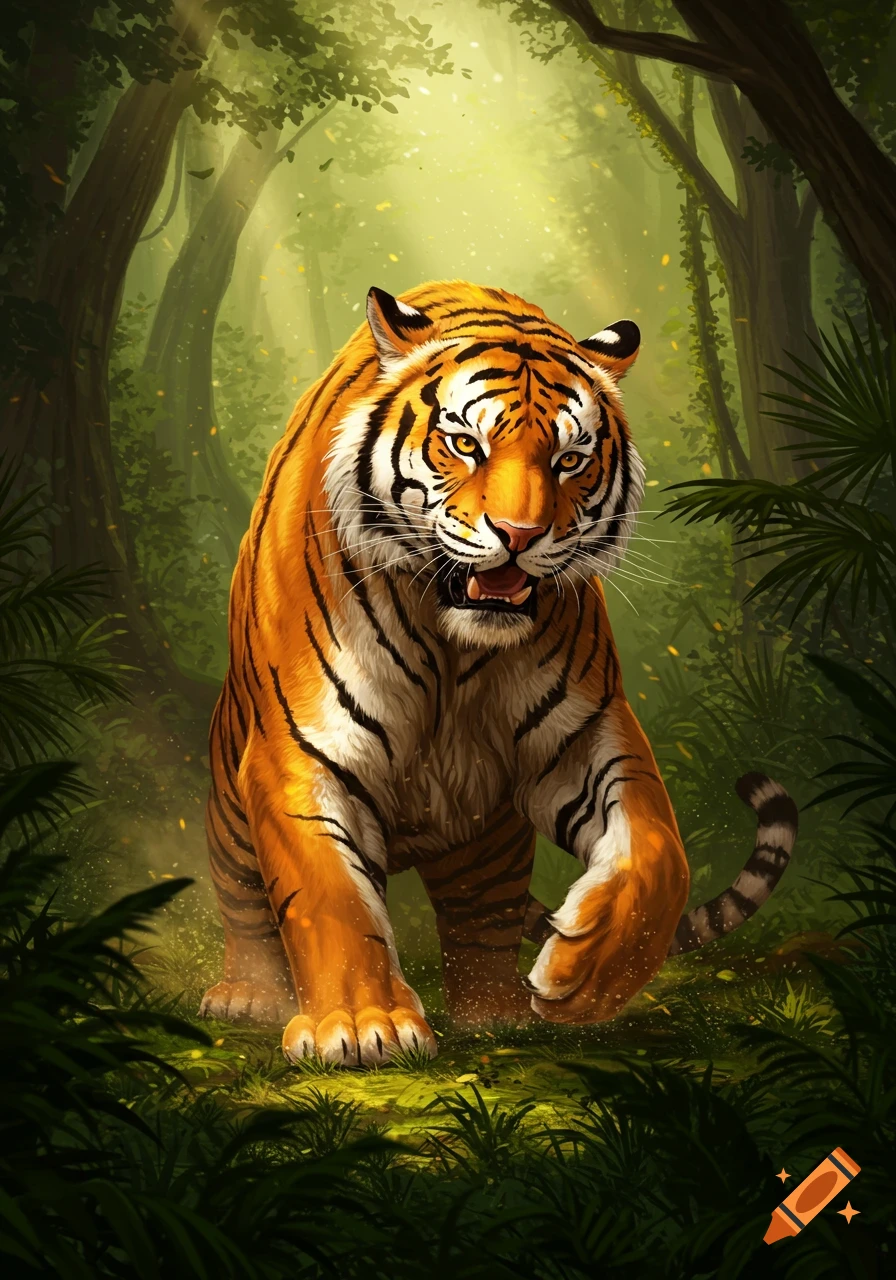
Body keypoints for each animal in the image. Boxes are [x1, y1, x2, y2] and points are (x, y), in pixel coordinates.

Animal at [199, 280, 798, 1066]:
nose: (519, 535)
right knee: (243, 900)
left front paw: (585, 973)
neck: (453, 643)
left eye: (570, 460)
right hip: (229, 808)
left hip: (486, 840)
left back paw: (500, 1015)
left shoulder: (587, 732)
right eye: (464, 444)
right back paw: (248, 996)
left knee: (481, 923)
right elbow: (329, 895)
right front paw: (363, 1025)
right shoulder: (302, 750)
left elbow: (659, 854)